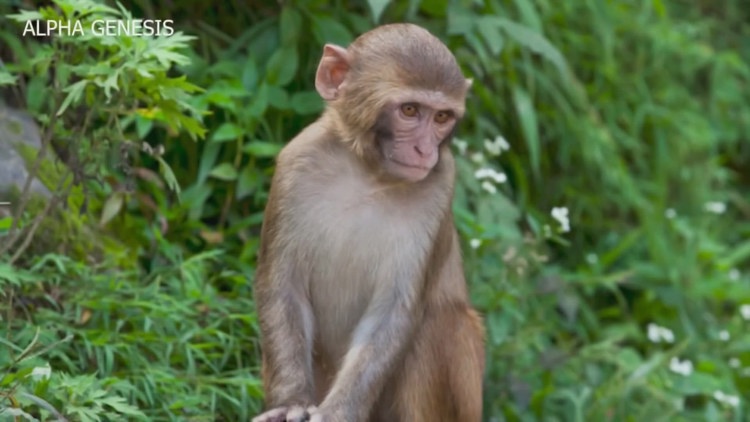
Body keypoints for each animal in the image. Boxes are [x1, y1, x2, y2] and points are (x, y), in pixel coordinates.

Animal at [252, 23, 485, 422]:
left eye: (441, 117)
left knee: (440, 322)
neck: (368, 172)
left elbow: (394, 312)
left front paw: (337, 413)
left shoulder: (442, 184)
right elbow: (283, 288)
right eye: (410, 110)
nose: (425, 150)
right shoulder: (297, 163)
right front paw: (291, 403)